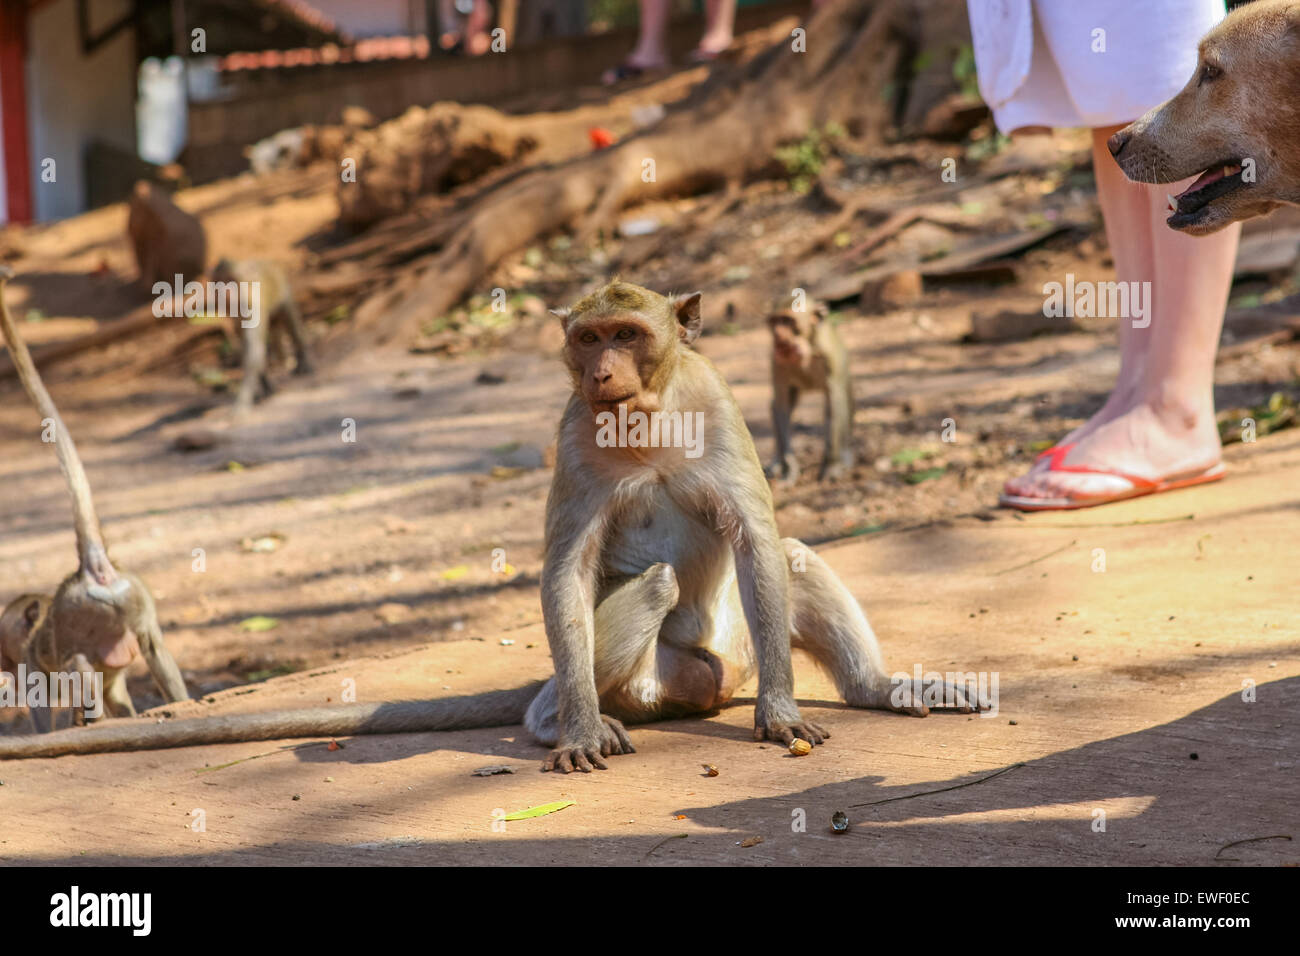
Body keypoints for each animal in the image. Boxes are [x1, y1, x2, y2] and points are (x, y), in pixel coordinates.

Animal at [0, 267, 190, 731]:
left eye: (3, 639)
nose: (2, 661)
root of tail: (93, 571)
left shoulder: (30, 659)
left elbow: (42, 697)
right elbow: (118, 690)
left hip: (85, 616)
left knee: (78, 661)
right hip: (132, 596)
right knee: (152, 646)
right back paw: (180, 701)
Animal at [208, 258, 314, 417]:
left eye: (230, 281)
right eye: (218, 282)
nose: (222, 292)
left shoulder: (254, 308)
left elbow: (254, 353)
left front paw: (243, 402)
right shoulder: (235, 317)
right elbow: (250, 352)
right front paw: (265, 387)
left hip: (282, 287)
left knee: (292, 324)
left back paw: (305, 359)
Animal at [765, 302, 855, 483]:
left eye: (787, 320)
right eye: (774, 321)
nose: (778, 334)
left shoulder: (829, 359)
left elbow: (834, 404)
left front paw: (831, 466)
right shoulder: (777, 361)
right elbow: (782, 406)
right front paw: (789, 468)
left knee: (845, 403)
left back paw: (844, 456)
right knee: (775, 406)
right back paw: (777, 462)